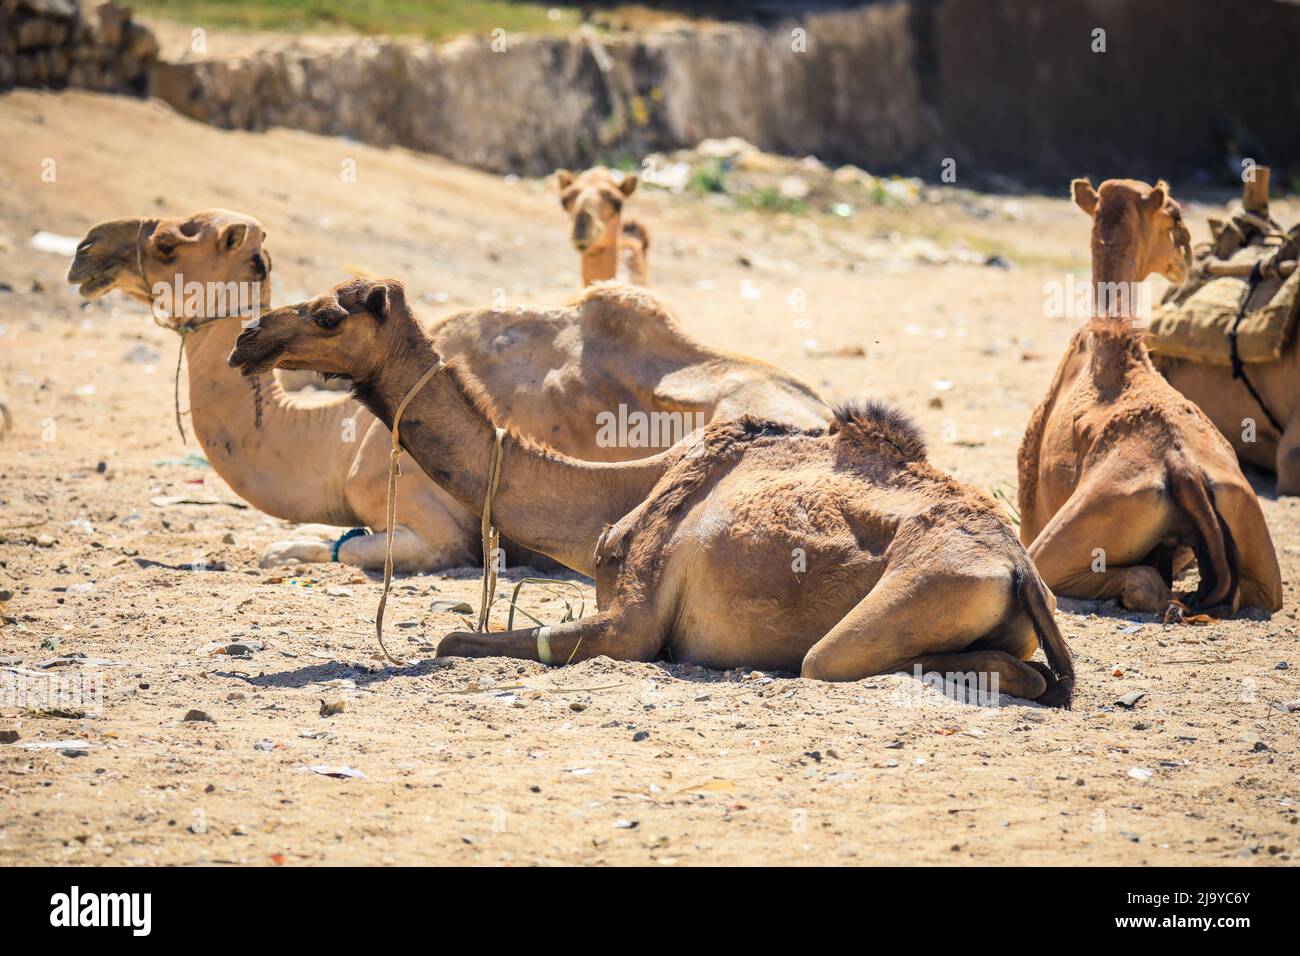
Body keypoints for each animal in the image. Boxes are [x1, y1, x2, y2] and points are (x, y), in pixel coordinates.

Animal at [228, 276, 1076, 706]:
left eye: (328, 315)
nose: (247, 336)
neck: (619, 493)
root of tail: (1019, 569)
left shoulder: (630, 622)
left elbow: (456, 640)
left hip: (912, 594)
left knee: (849, 659)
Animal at [1017, 178, 1282, 616]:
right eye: (1173, 216)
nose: (1188, 251)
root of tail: (1184, 470)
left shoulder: (1030, 515)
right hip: (1252, 531)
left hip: (1069, 531)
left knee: (1137, 579)